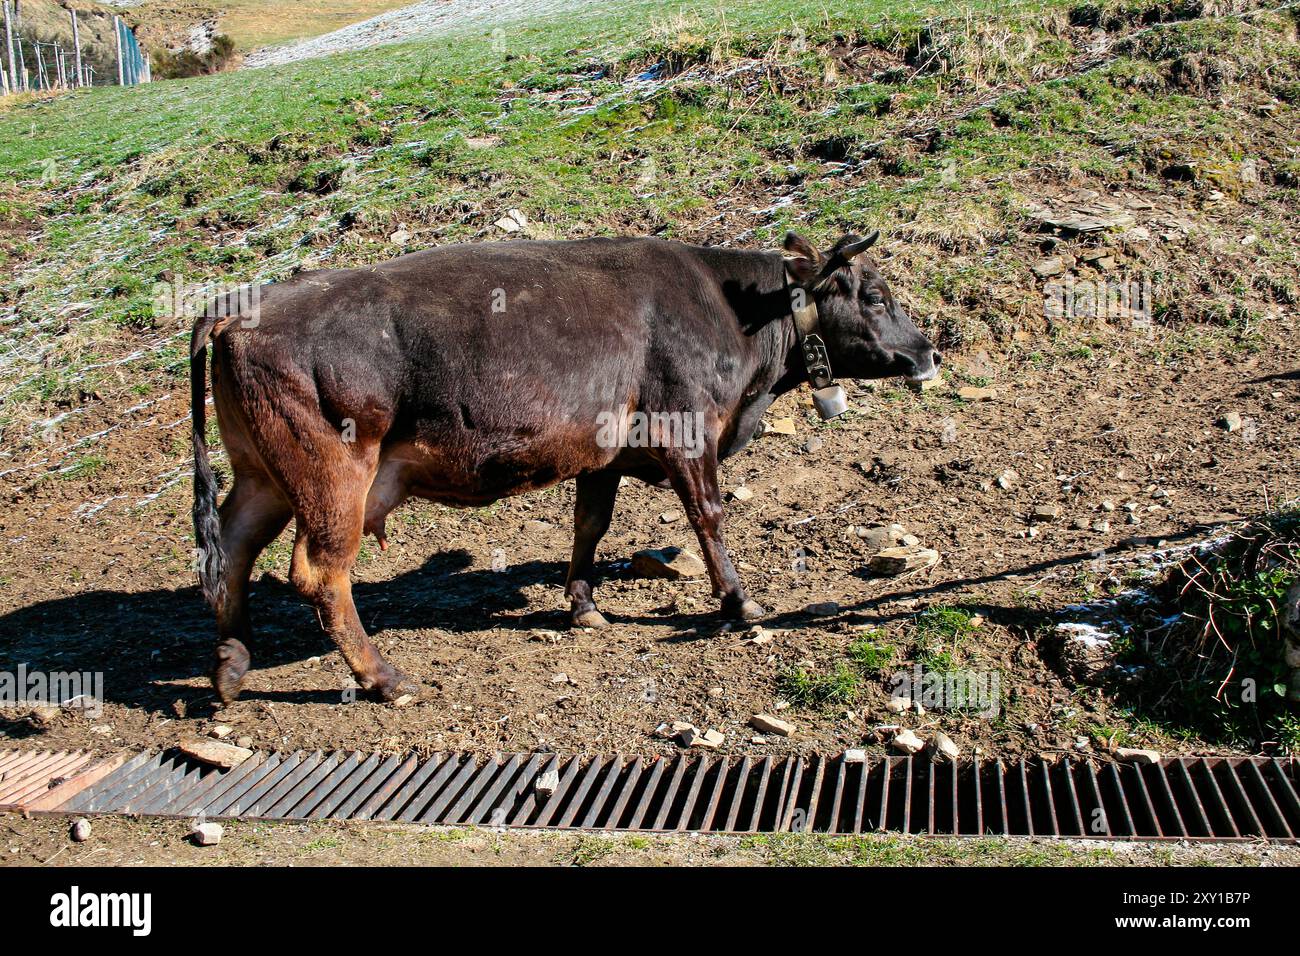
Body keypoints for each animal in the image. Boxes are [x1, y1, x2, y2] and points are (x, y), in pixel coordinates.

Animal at [190, 231, 940, 704]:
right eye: (875, 296)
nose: (929, 351)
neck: (732, 311)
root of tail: (239, 308)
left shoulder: (605, 452)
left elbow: (590, 524)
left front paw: (583, 605)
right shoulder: (687, 433)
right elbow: (708, 518)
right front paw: (739, 600)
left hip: (262, 476)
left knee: (230, 549)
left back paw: (230, 666)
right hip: (333, 478)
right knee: (319, 575)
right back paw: (386, 679)